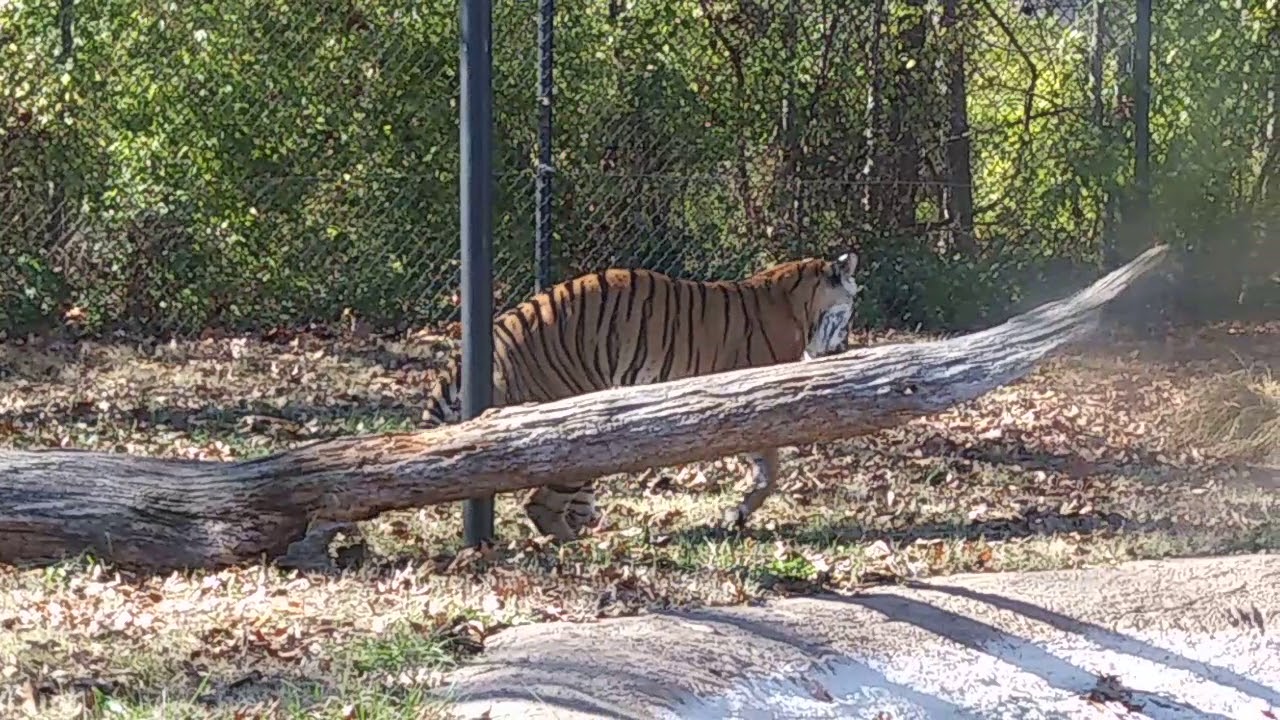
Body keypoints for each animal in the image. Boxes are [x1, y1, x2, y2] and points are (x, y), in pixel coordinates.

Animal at [423, 251, 863, 541]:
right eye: (850, 312)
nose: (847, 345)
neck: (801, 305)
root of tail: (504, 323)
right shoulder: (758, 407)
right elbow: (771, 473)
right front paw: (737, 515)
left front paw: (736, 514)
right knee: (541, 504)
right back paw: (577, 544)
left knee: (565, 499)